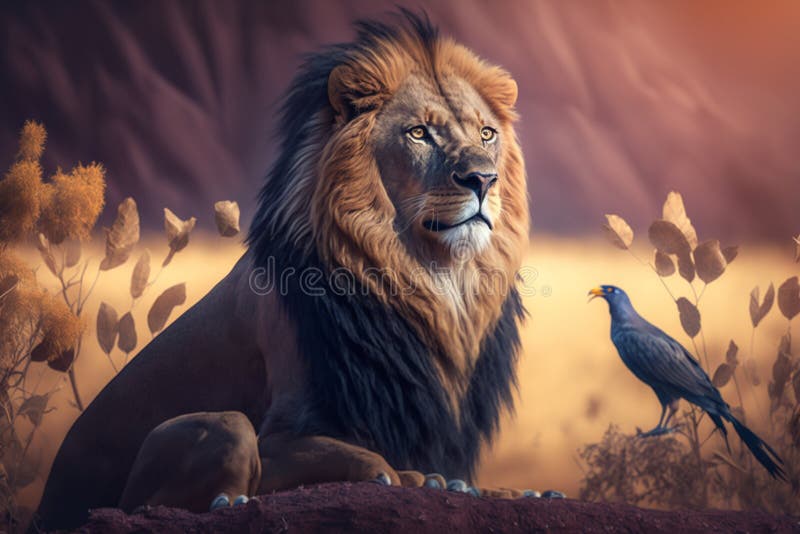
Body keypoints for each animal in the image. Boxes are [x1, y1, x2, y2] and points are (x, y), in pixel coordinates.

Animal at [36, 10, 529, 529]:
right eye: (419, 133)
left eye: (486, 134)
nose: (483, 179)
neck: (434, 284)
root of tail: (46, 501)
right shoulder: (283, 432)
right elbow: (363, 459)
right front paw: (414, 478)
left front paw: (500, 490)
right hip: (209, 435)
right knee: (167, 489)